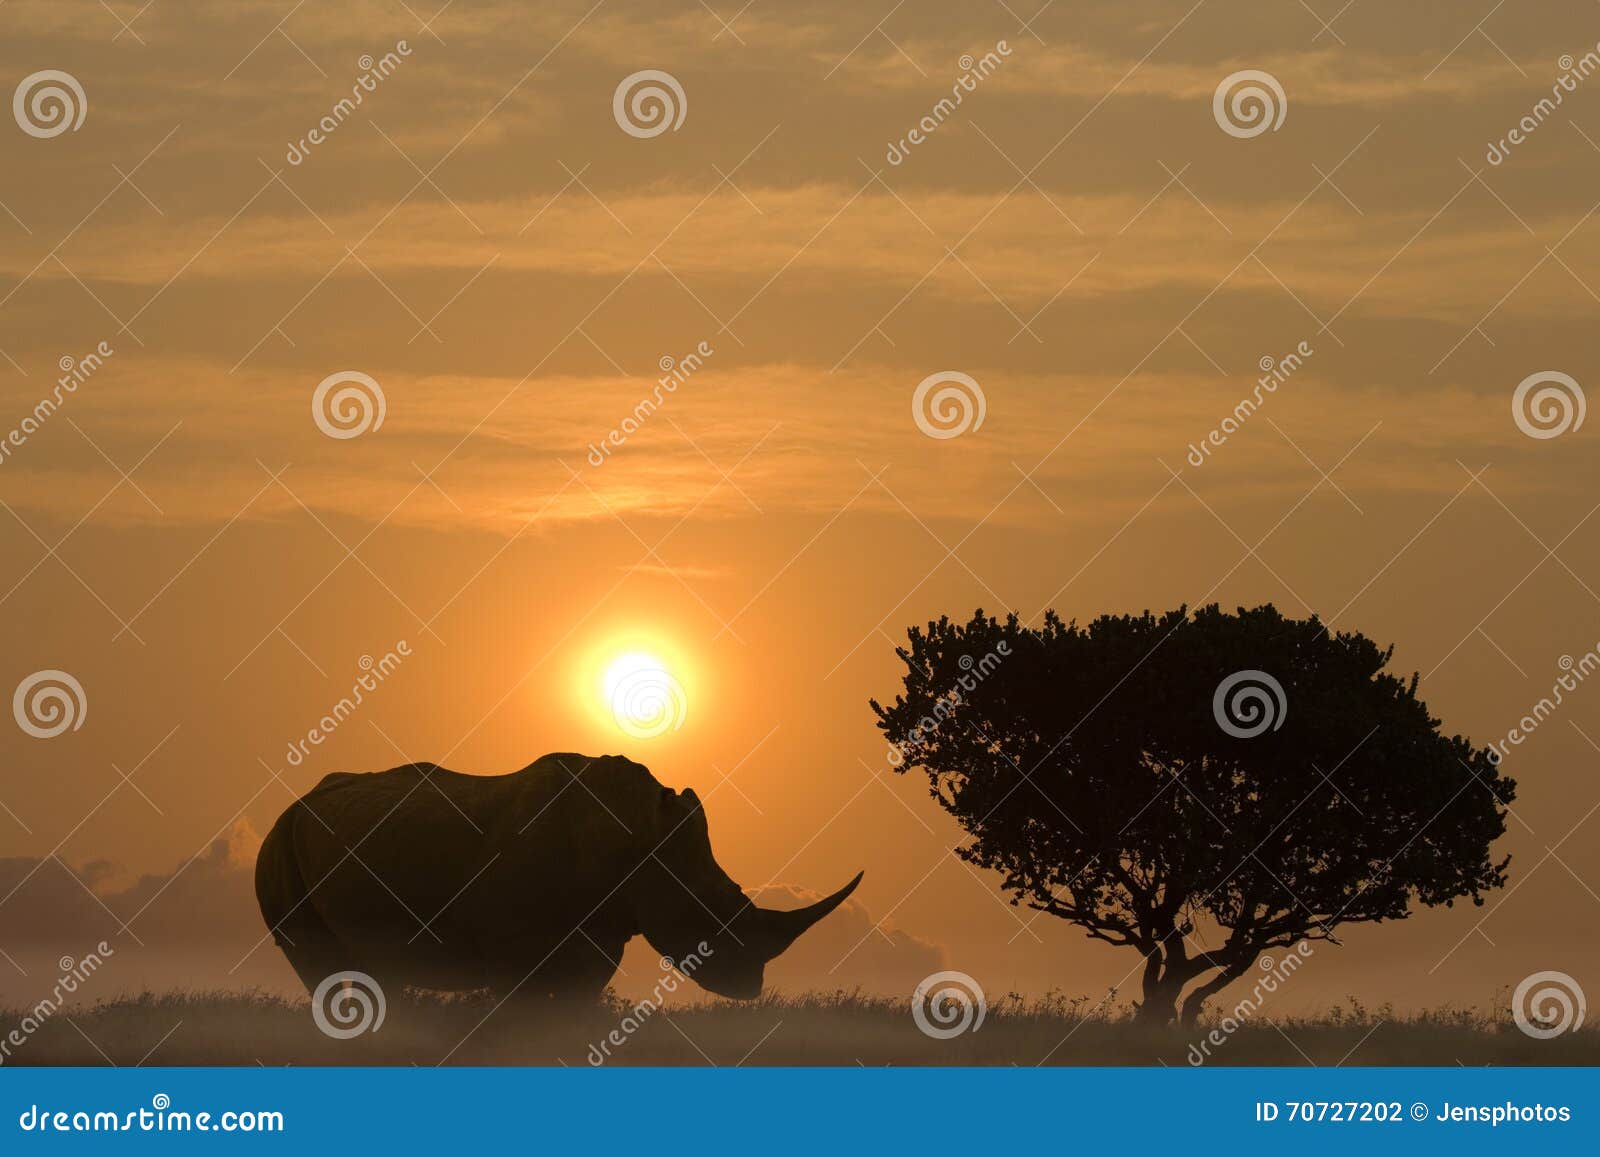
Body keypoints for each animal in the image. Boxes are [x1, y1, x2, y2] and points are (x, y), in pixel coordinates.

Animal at [255, 754, 861, 1000]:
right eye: (704, 911)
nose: (750, 986)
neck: (640, 837)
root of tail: (295, 803)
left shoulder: (601, 933)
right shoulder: (508, 945)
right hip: (278, 843)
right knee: (315, 961)